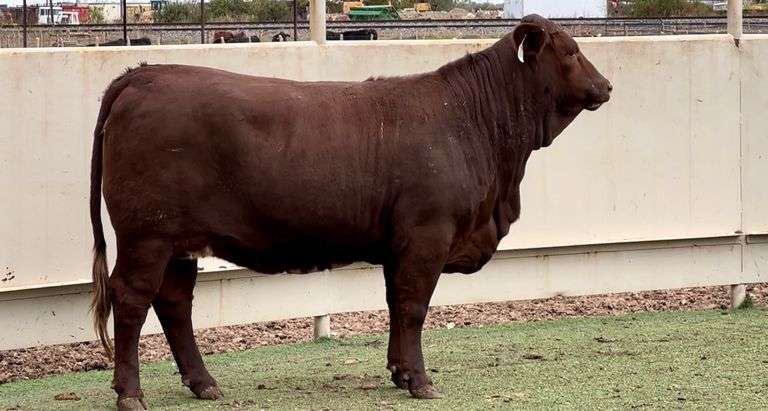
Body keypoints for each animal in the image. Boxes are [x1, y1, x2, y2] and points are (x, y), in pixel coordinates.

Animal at [89, 14, 611, 410]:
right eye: (570, 52)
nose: (606, 85)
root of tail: (143, 74)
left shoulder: (399, 245)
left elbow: (397, 305)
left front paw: (400, 373)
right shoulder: (427, 235)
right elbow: (414, 306)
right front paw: (421, 381)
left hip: (179, 243)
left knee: (175, 304)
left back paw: (205, 384)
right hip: (147, 236)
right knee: (132, 301)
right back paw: (130, 394)